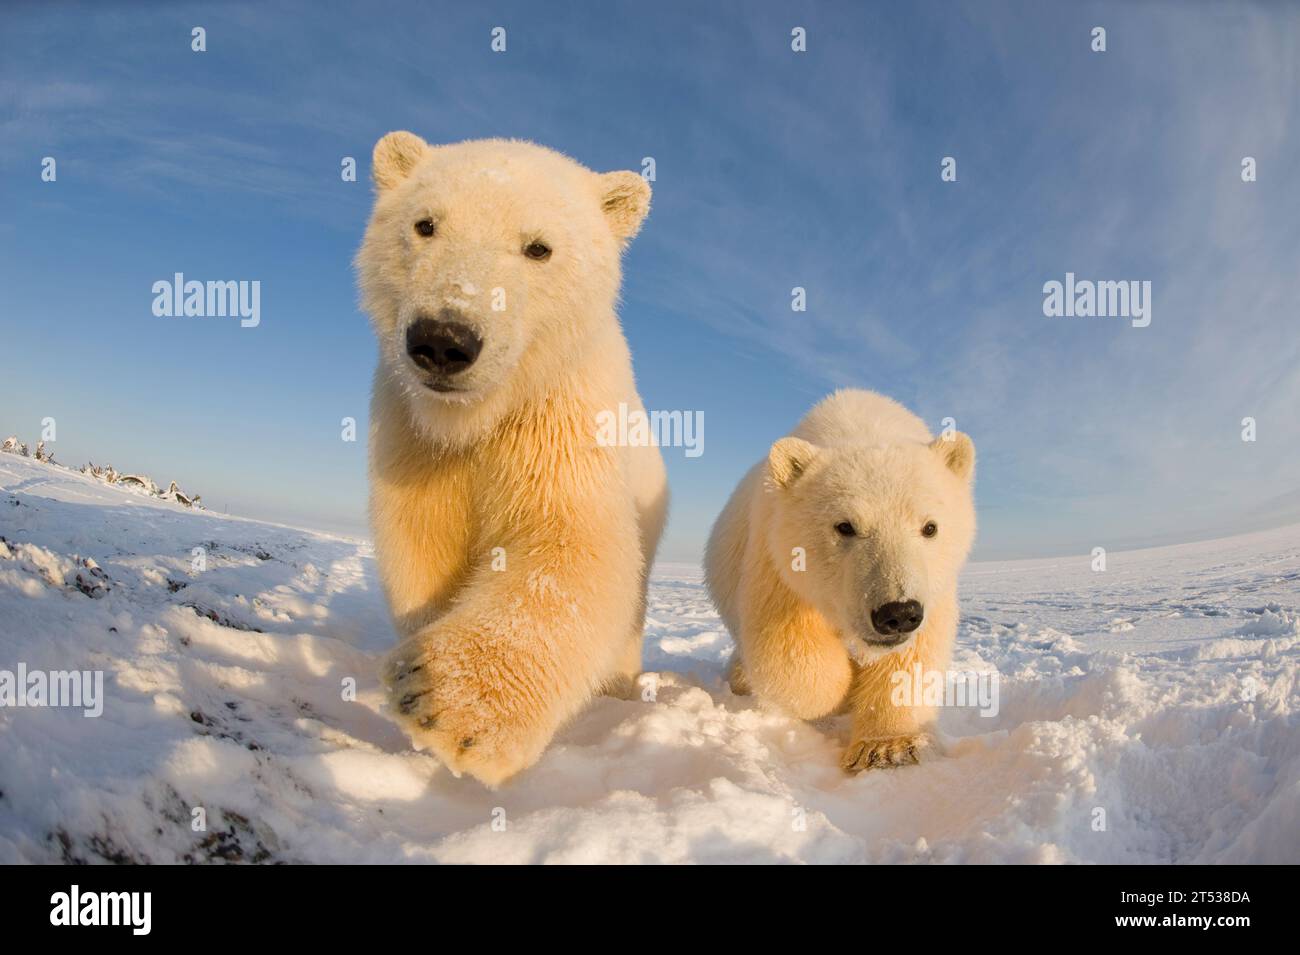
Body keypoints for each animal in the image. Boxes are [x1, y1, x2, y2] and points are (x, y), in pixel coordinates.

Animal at [356, 133, 668, 786]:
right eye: (425, 224)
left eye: (538, 247)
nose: (443, 340)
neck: (479, 417)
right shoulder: (413, 432)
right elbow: (424, 540)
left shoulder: (562, 415)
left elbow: (573, 547)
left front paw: (441, 695)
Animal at [704, 389, 975, 772]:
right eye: (844, 526)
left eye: (930, 527)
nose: (897, 613)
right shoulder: (778, 556)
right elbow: (785, 645)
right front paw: (844, 693)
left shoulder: (934, 585)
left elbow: (915, 653)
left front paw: (886, 747)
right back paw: (741, 678)